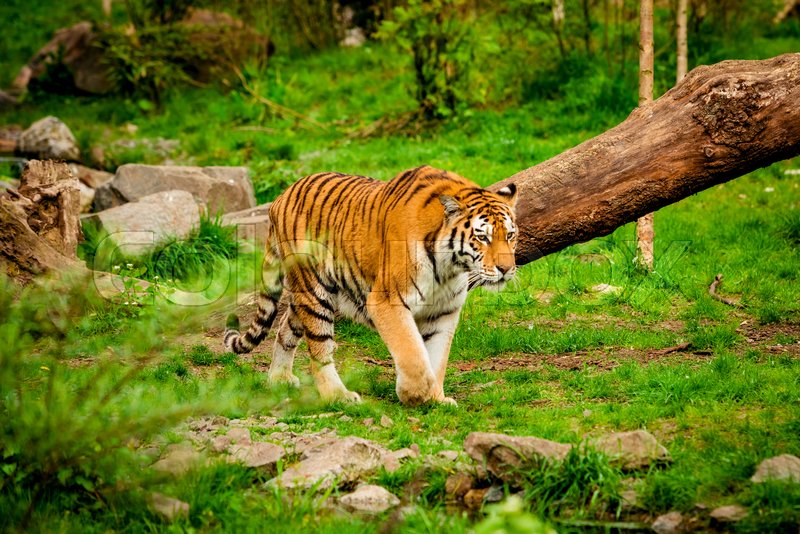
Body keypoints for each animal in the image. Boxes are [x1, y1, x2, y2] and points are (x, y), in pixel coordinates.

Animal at [223, 165, 518, 406]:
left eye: (510, 235)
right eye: (482, 237)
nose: (506, 269)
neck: (450, 266)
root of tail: (280, 198)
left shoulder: (444, 311)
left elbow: (436, 358)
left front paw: (436, 399)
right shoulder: (387, 300)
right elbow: (412, 352)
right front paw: (415, 394)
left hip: (304, 296)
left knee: (285, 330)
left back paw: (280, 379)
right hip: (315, 292)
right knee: (319, 350)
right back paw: (338, 396)